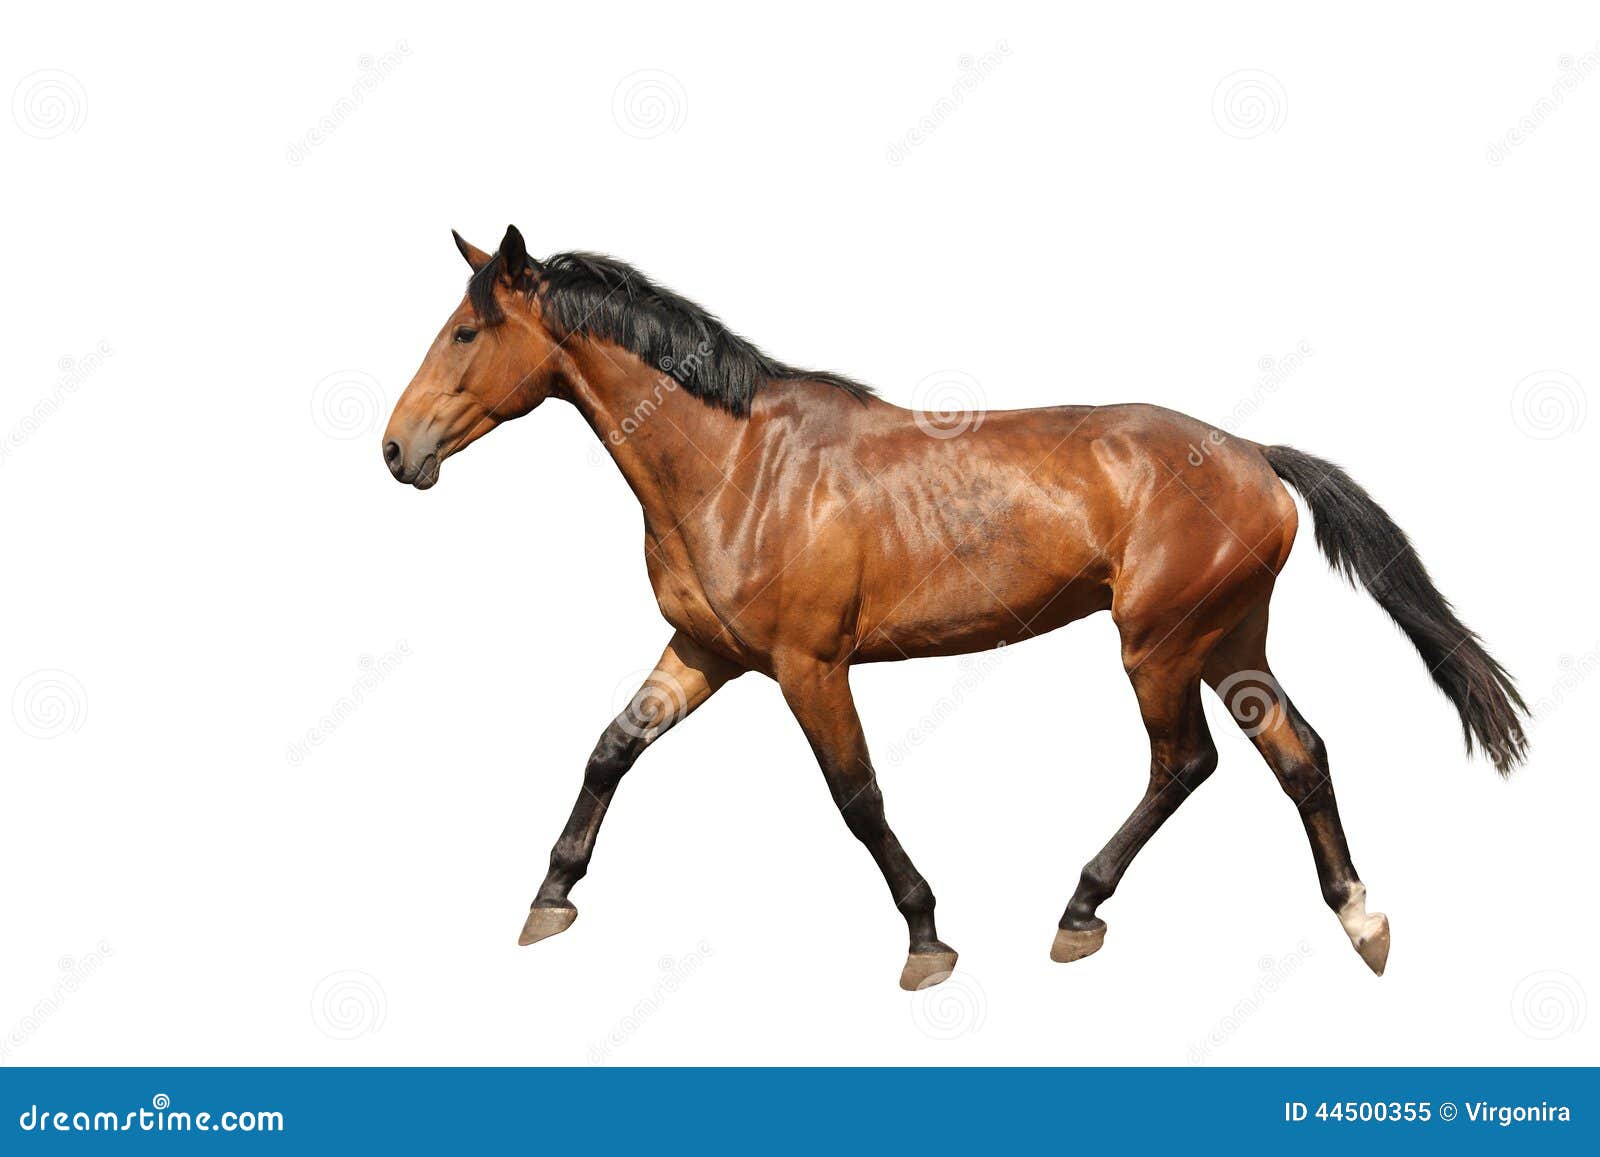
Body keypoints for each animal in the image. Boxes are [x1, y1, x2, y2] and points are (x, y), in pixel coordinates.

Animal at [381, 225, 1527, 990]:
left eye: (469, 330)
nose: (397, 449)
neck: (736, 464)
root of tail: (1255, 453)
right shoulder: (703, 649)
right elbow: (611, 748)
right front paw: (550, 899)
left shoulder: (808, 664)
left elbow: (856, 797)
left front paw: (926, 939)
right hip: (1225, 639)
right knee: (1299, 754)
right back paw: (1362, 922)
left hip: (1159, 644)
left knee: (1185, 764)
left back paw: (1079, 911)